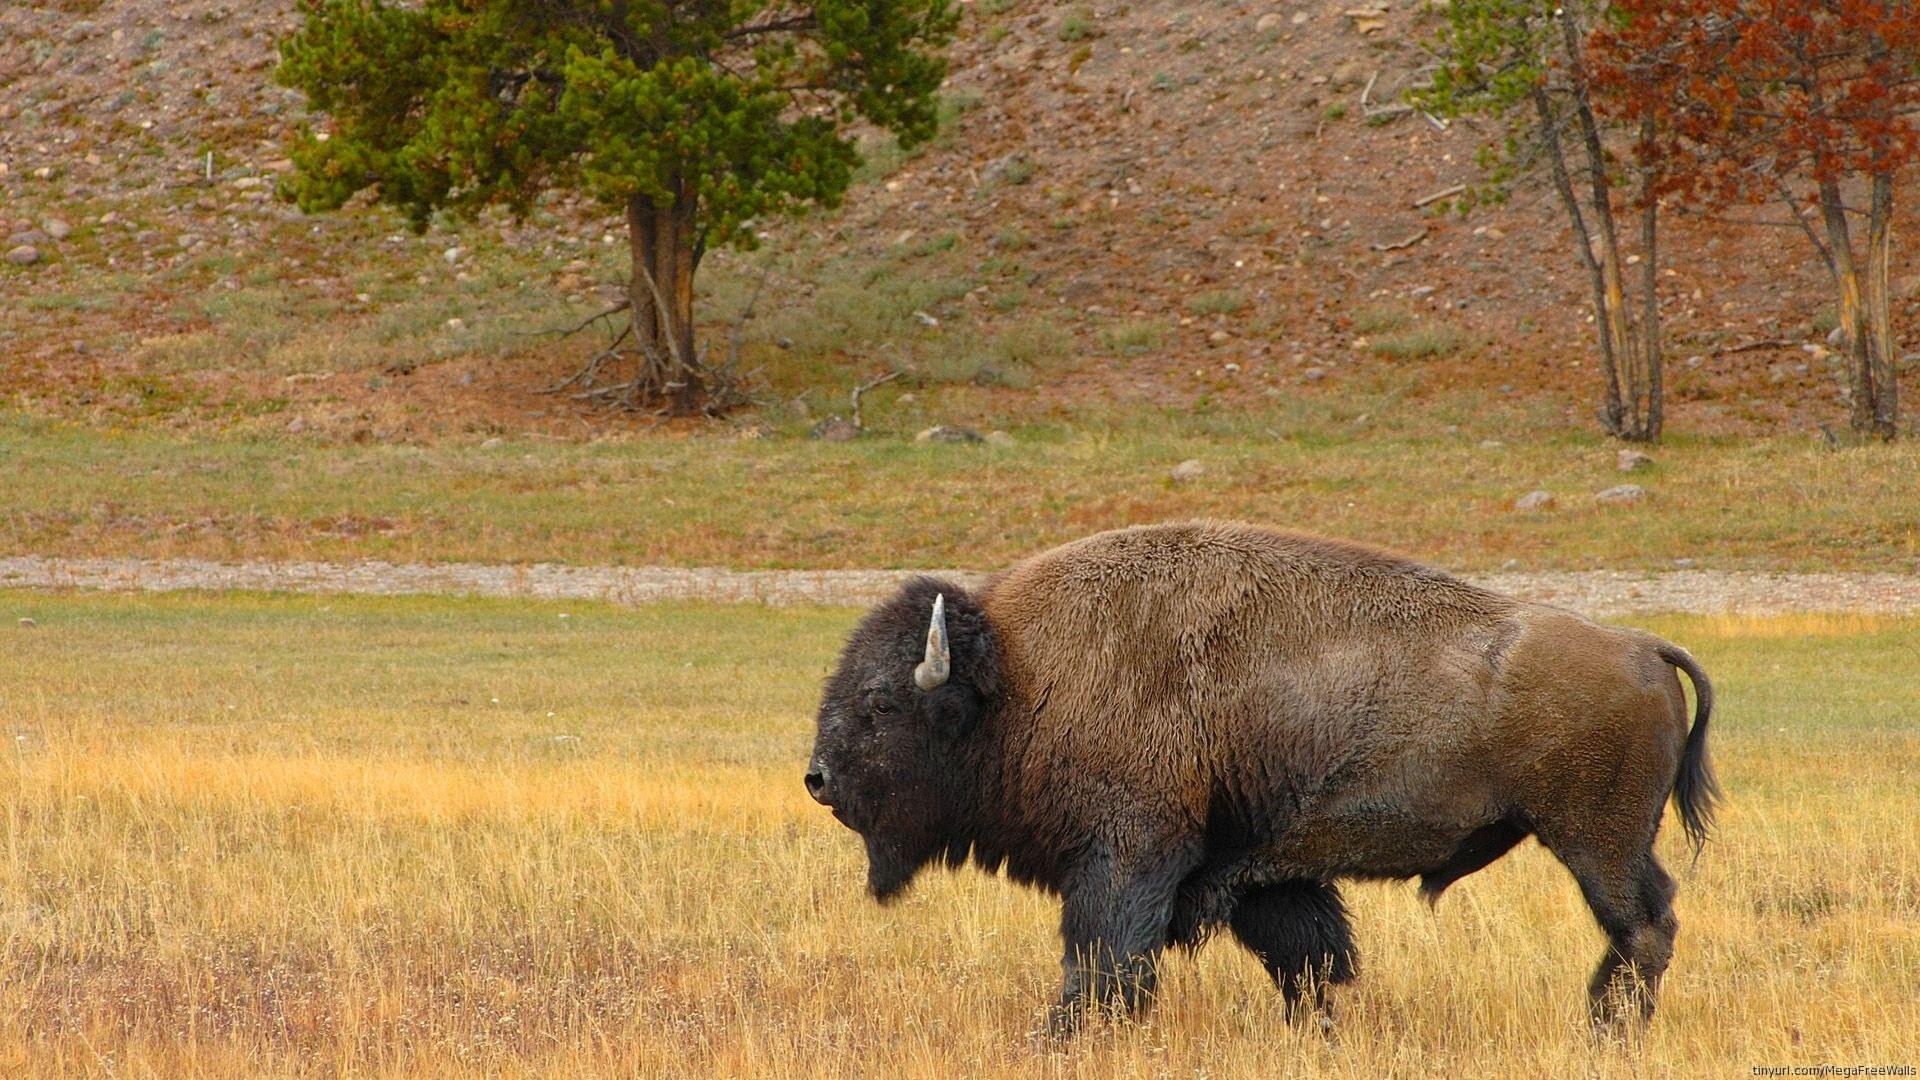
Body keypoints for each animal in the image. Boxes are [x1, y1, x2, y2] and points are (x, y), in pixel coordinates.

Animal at [805, 522, 1717, 1034]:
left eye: (881, 703)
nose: (817, 779)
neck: (1022, 674)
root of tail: (1640, 644)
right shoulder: (1258, 874)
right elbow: (1308, 960)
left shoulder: (1128, 856)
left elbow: (1105, 961)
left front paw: (1058, 1037)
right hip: (1604, 842)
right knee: (1646, 926)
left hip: (1596, 842)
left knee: (1645, 925)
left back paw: (1606, 1030)